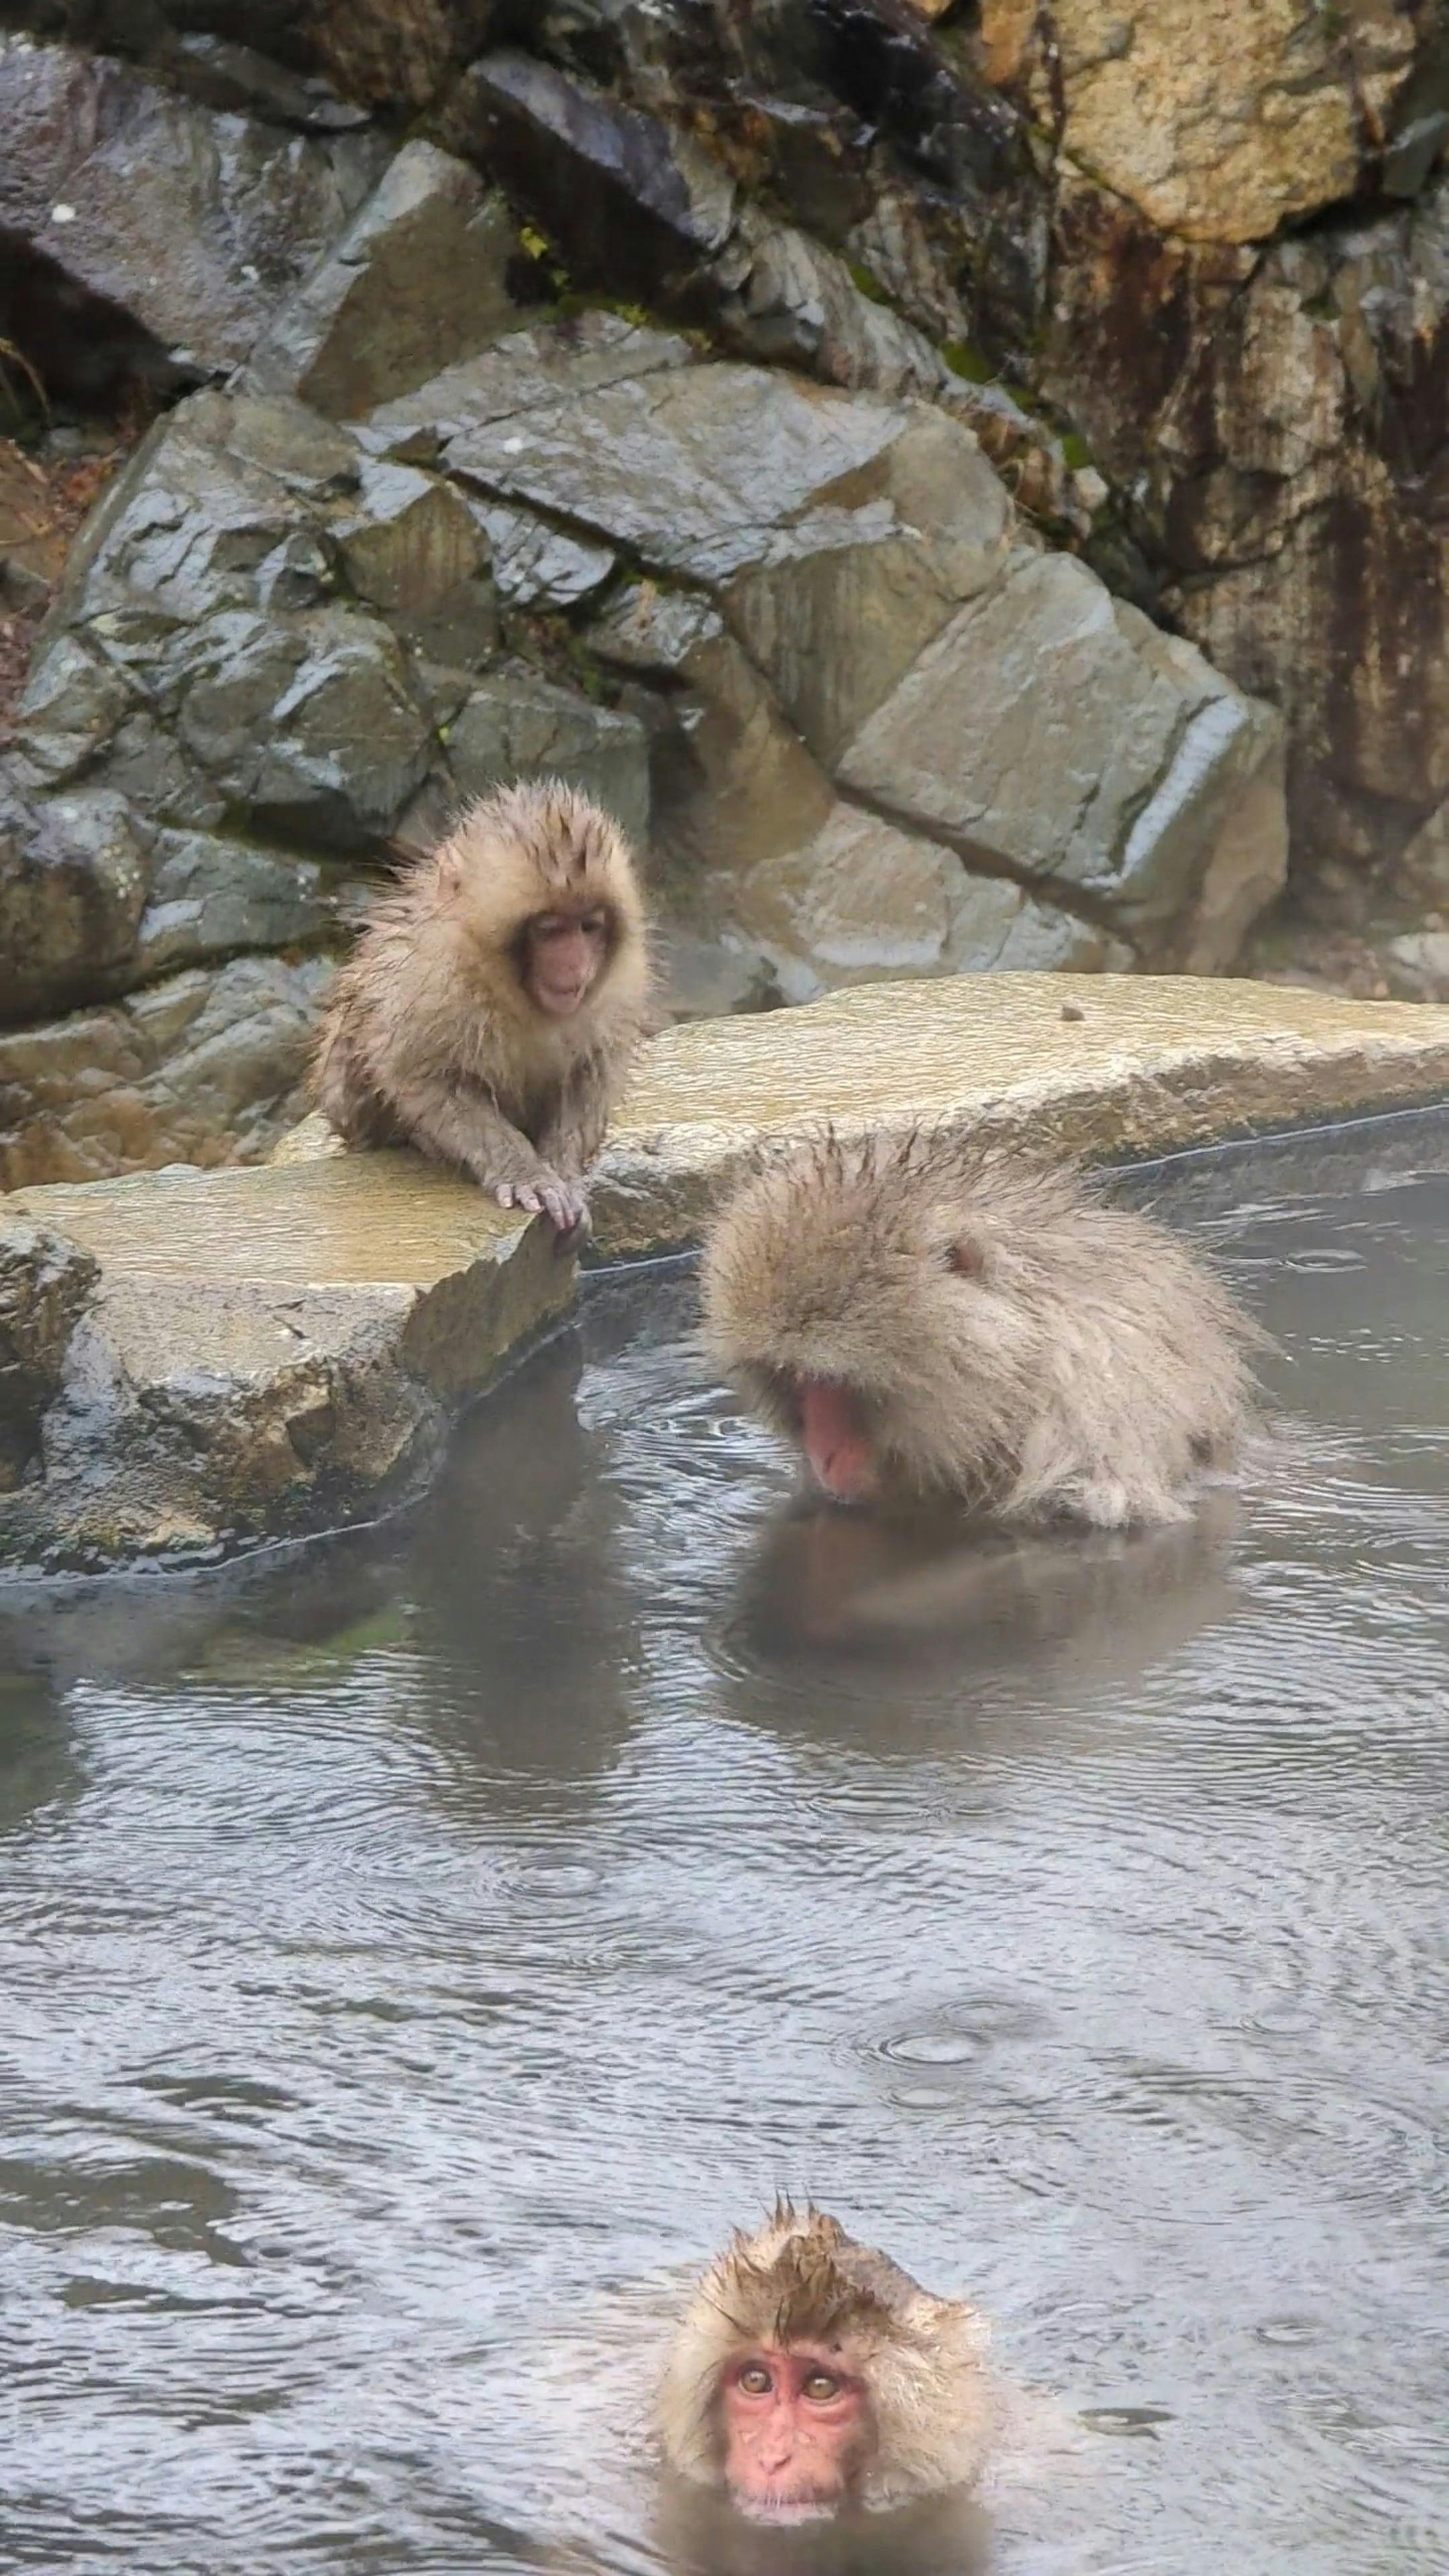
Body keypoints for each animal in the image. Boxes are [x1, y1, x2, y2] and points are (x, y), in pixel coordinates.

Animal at [310, 779, 653, 1246]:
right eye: (550, 930)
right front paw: (526, 1173)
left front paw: (564, 1175)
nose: (576, 967)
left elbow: (590, 1076)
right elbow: (424, 1075)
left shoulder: (617, 990)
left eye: (588, 926)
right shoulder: (427, 983)